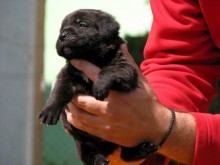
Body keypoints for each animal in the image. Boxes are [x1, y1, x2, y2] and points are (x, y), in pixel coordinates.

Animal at [38, 9, 148, 165]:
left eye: (82, 24)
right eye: (61, 29)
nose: (62, 36)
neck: (91, 58)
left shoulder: (126, 68)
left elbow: (109, 70)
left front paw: (100, 86)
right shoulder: (66, 76)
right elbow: (58, 93)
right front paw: (49, 111)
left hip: (129, 135)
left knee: (127, 153)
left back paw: (141, 150)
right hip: (83, 143)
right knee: (90, 154)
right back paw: (100, 160)